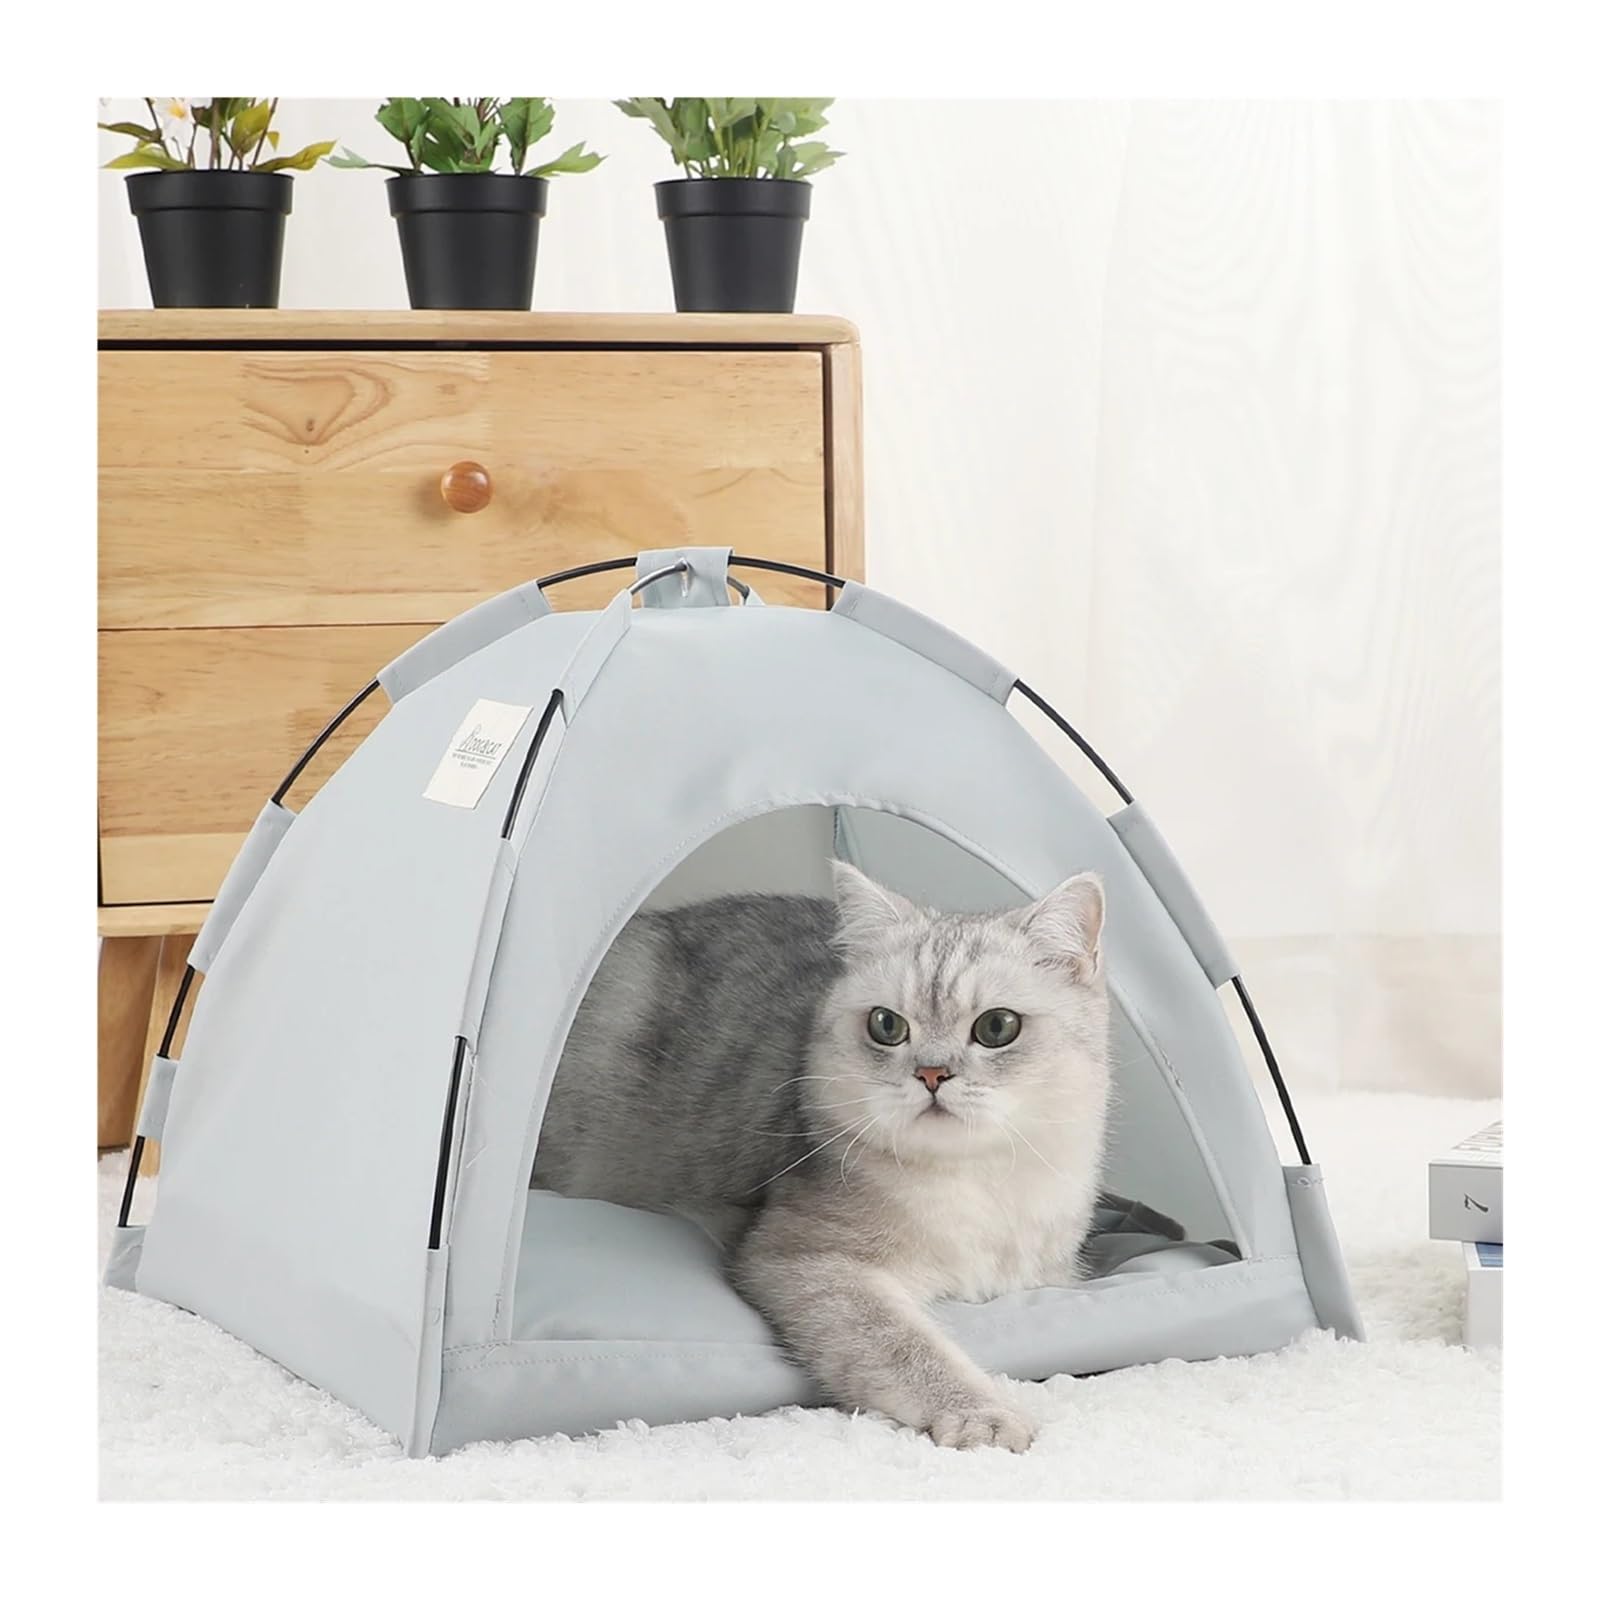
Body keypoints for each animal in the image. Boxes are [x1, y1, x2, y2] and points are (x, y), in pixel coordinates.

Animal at [531, 860, 1112, 1452]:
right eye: (887, 1025)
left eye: (997, 1027)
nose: (930, 1074)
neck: (976, 1181)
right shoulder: (808, 1261)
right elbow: (908, 1345)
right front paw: (982, 1413)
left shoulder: (1047, 1276)